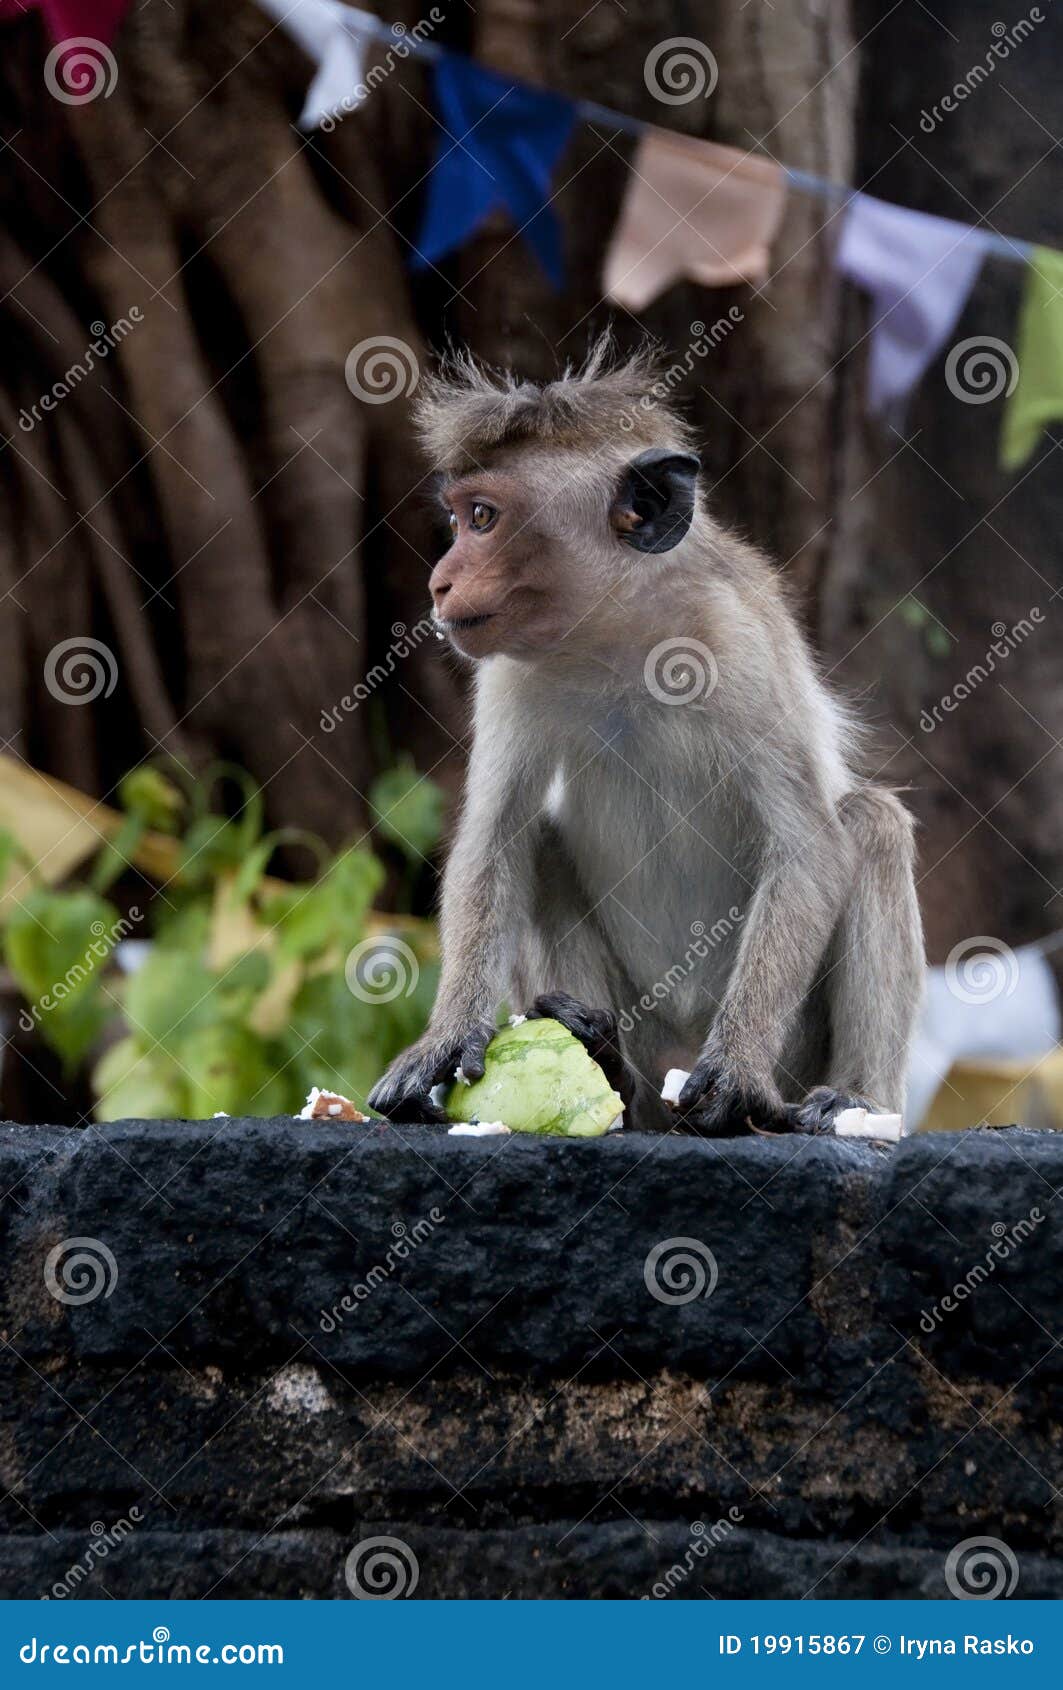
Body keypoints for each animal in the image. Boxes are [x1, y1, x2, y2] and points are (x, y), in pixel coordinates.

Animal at [368, 339, 924, 1135]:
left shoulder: (738, 644)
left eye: (482, 517)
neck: (622, 637)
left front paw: (737, 1069)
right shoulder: (509, 674)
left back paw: (856, 1102)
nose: (439, 582)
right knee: (539, 841)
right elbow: (495, 840)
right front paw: (444, 1040)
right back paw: (603, 1059)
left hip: (792, 1052)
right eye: (460, 518)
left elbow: (809, 846)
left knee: (869, 822)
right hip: (647, 1033)